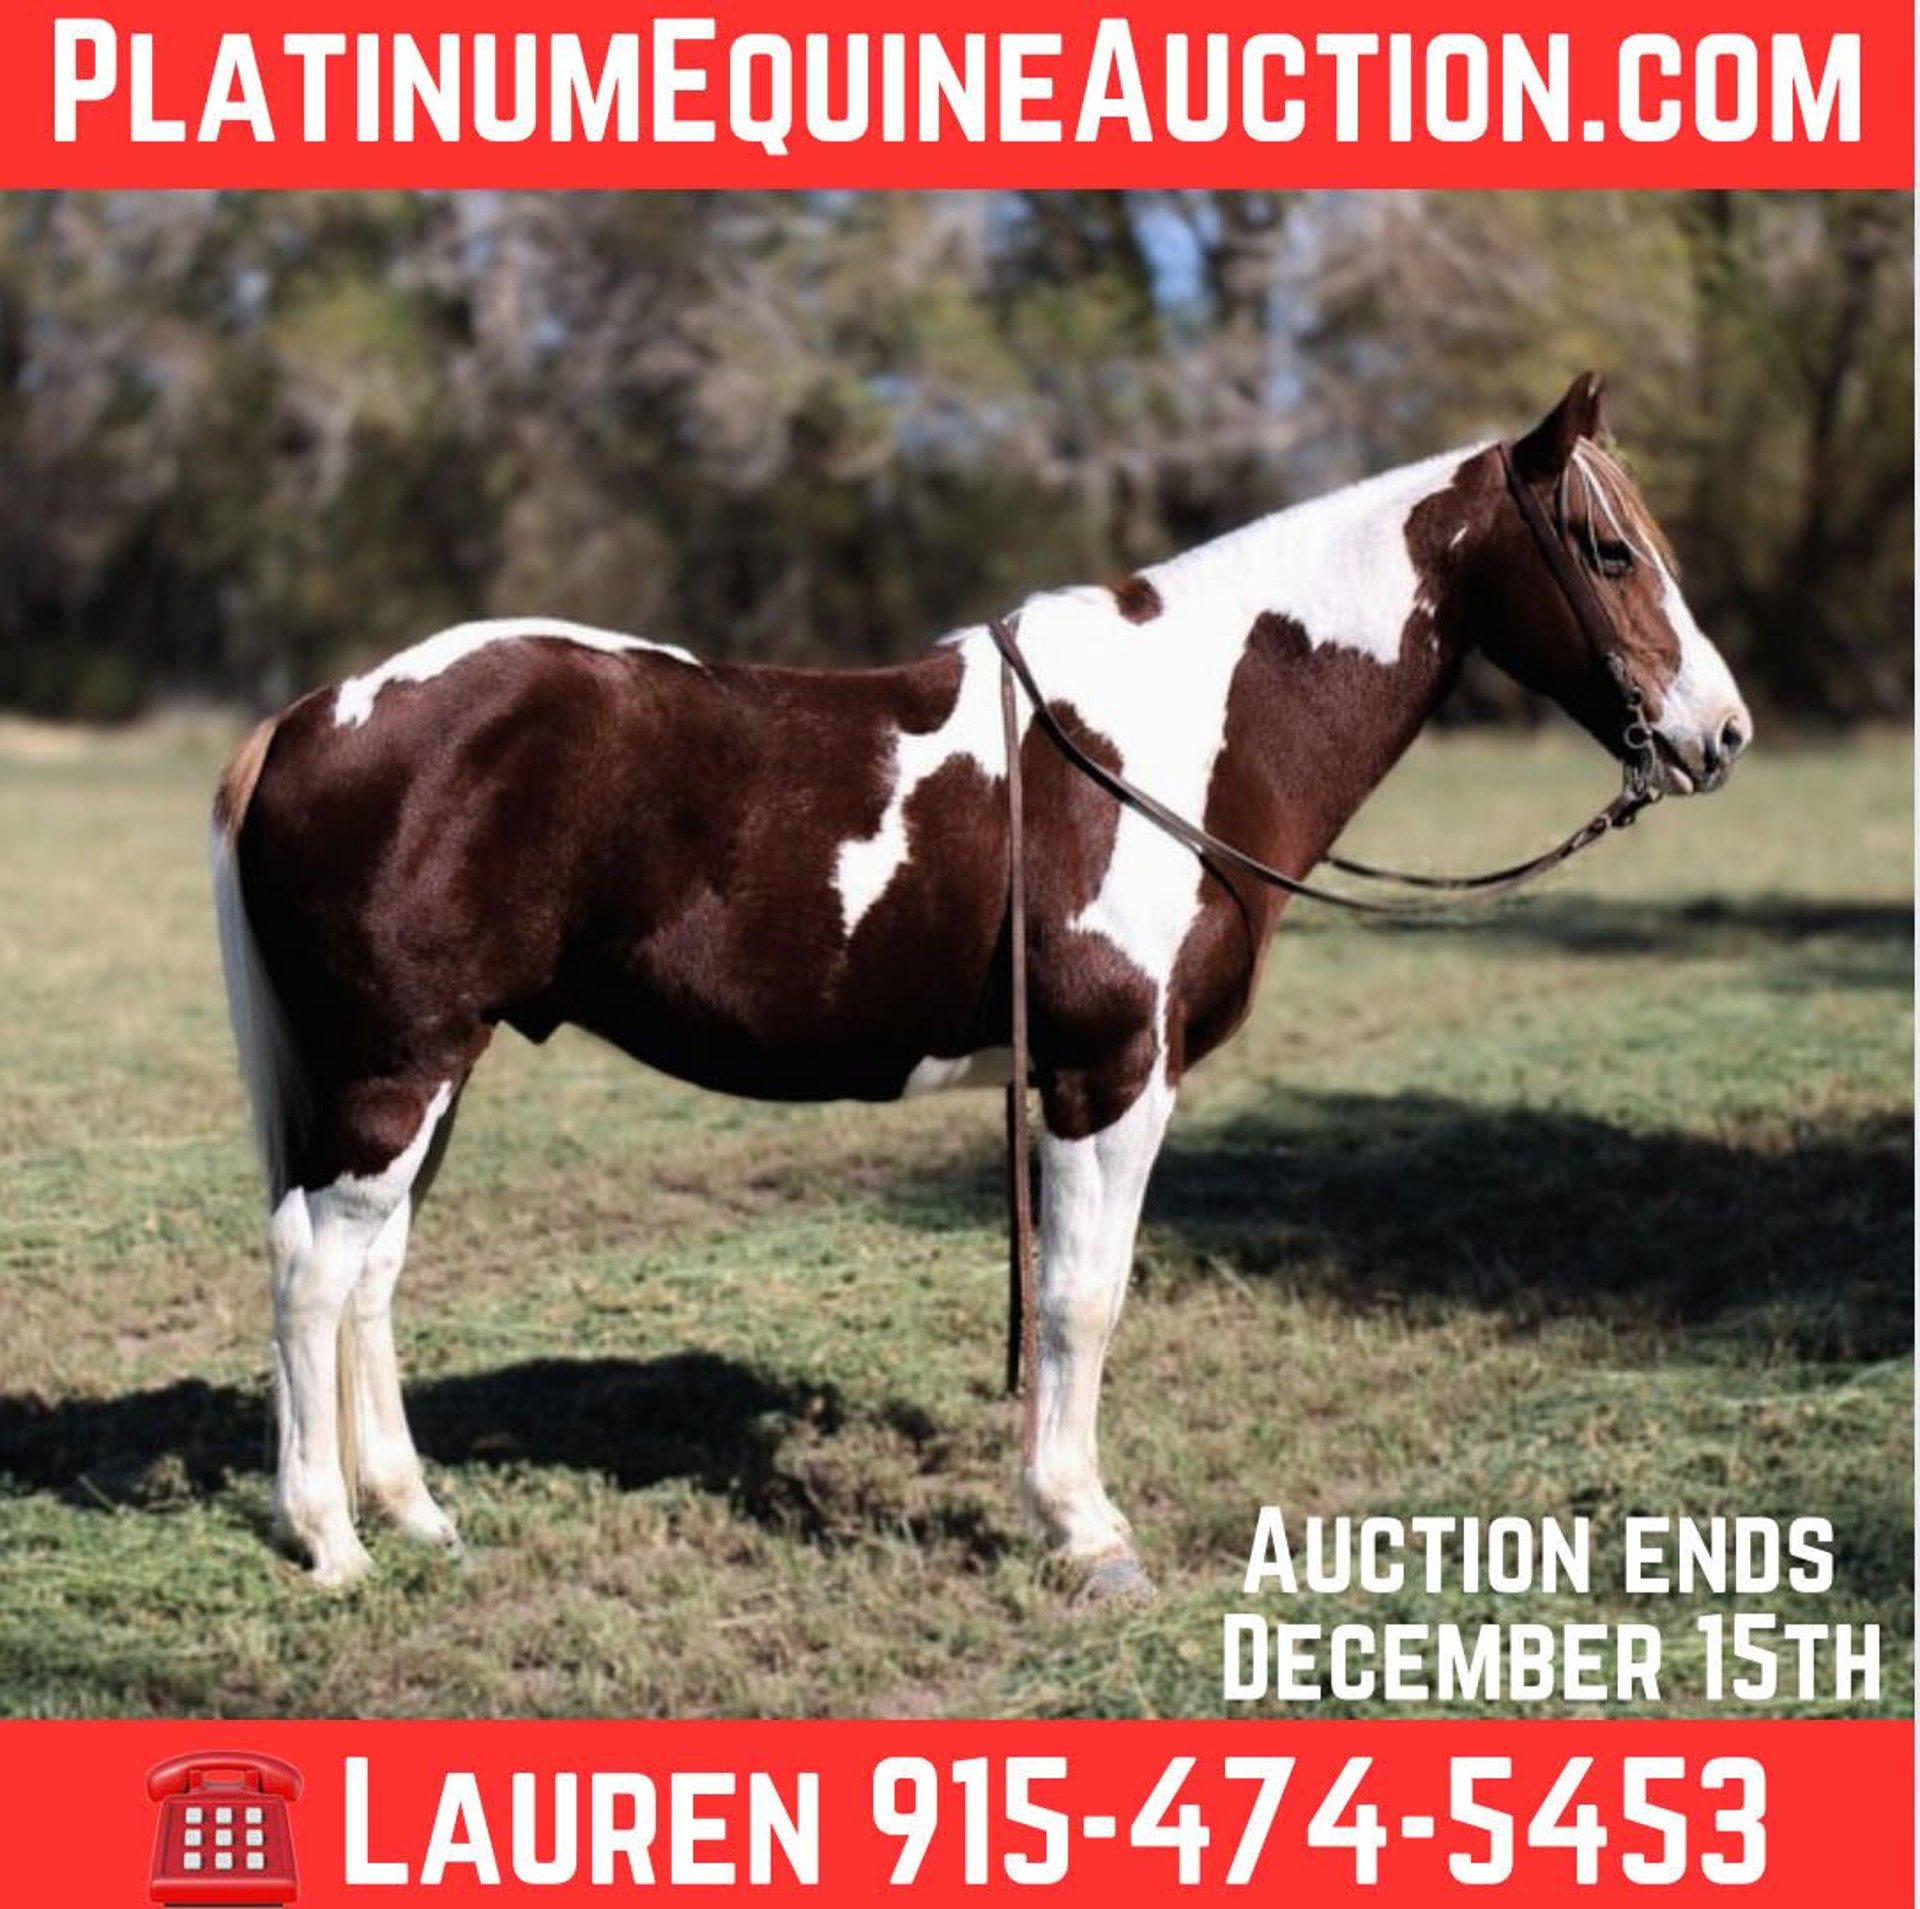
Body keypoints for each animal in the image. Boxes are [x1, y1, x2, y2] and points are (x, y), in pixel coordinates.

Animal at [211, 372, 1750, 1595]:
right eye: (1609, 548)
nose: (1720, 734)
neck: (1176, 735)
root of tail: (308, 715)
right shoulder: (1107, 1075)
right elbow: (1083, 1297)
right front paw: (1083, 1529)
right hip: (396, 1070)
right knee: (311, 1267)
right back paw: (330, 1541)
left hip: (424, 1070)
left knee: (369, 1272)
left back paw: (413, 1513)